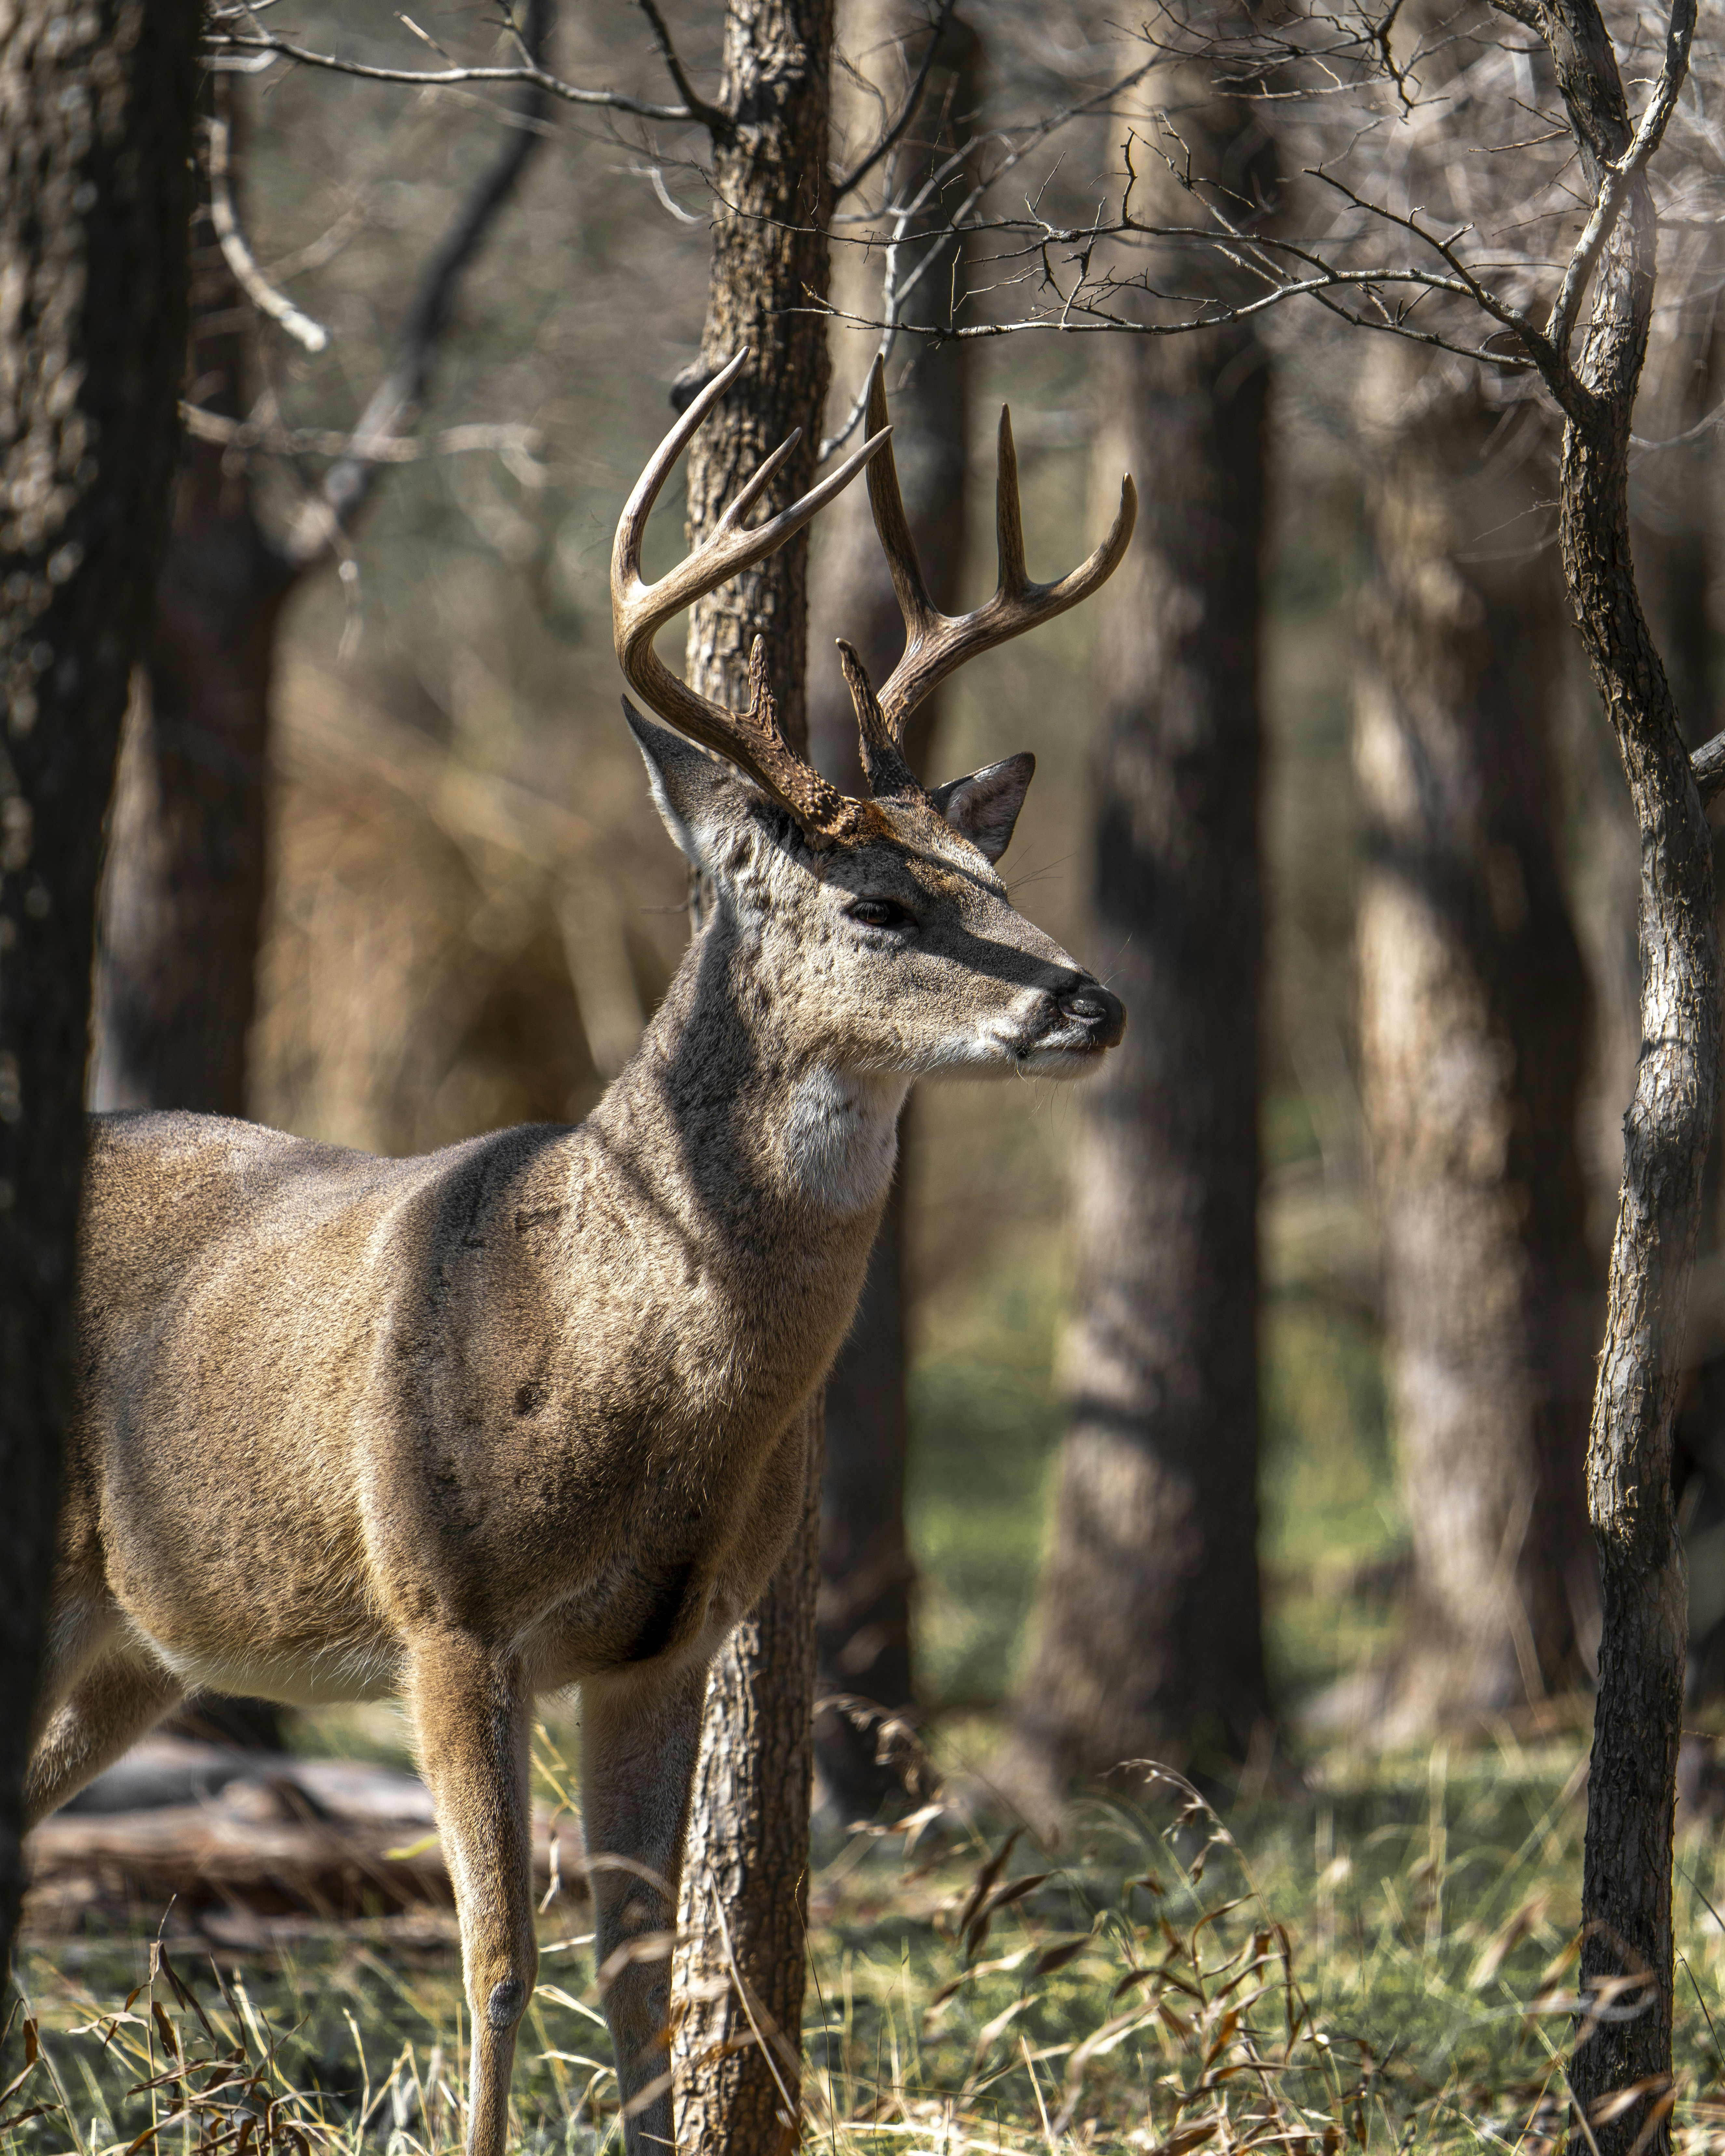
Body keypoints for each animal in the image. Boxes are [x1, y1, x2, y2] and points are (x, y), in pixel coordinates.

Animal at [23, 350, 1135, 2156]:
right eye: (884, 904)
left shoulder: (663, 1642)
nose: (1092, 999)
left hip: (130, 1643)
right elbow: (495, 1960)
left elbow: (639, 1973)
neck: (607, 1346)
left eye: (994, 866)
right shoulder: (443, 1612)